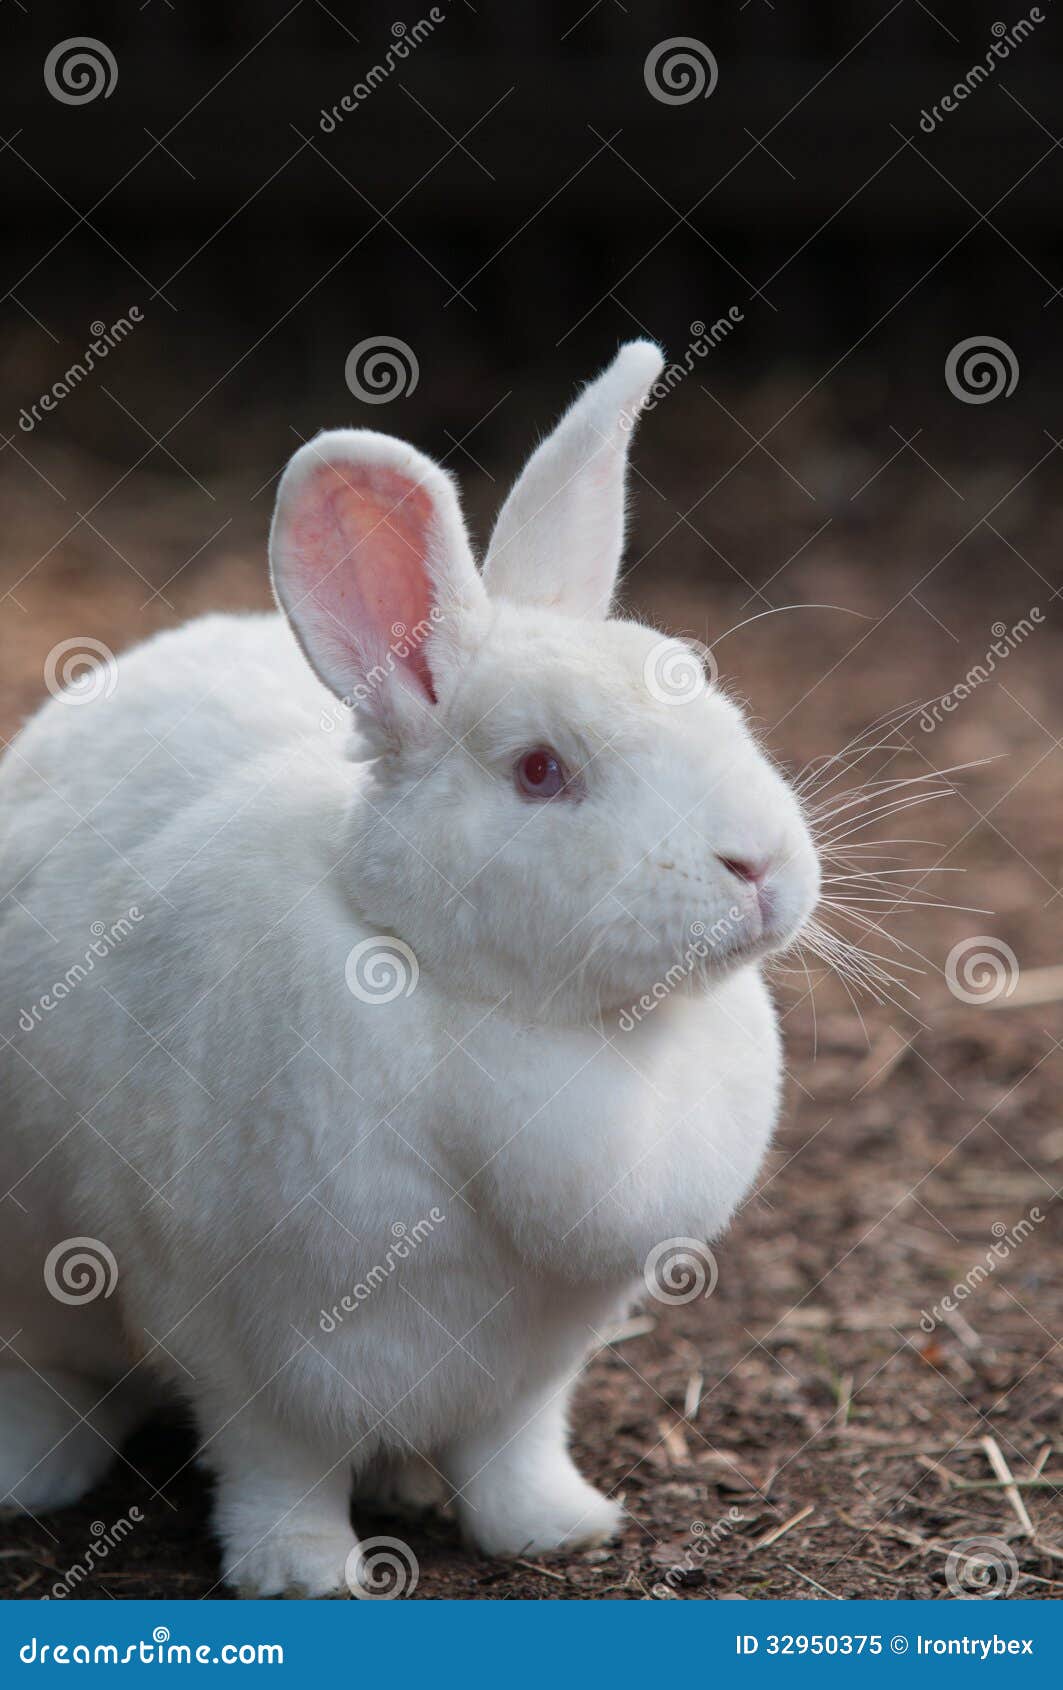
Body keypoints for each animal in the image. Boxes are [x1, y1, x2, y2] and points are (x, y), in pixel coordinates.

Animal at [0, 341, 820, 1596]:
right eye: (539, 771)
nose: (761, 864)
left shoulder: (537, 1358)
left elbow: (511, 1447)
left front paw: (557, 1527)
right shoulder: (251, 1338)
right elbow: (276, 1465)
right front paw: (306, 1574)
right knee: (54, 1374)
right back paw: (30, 1474)